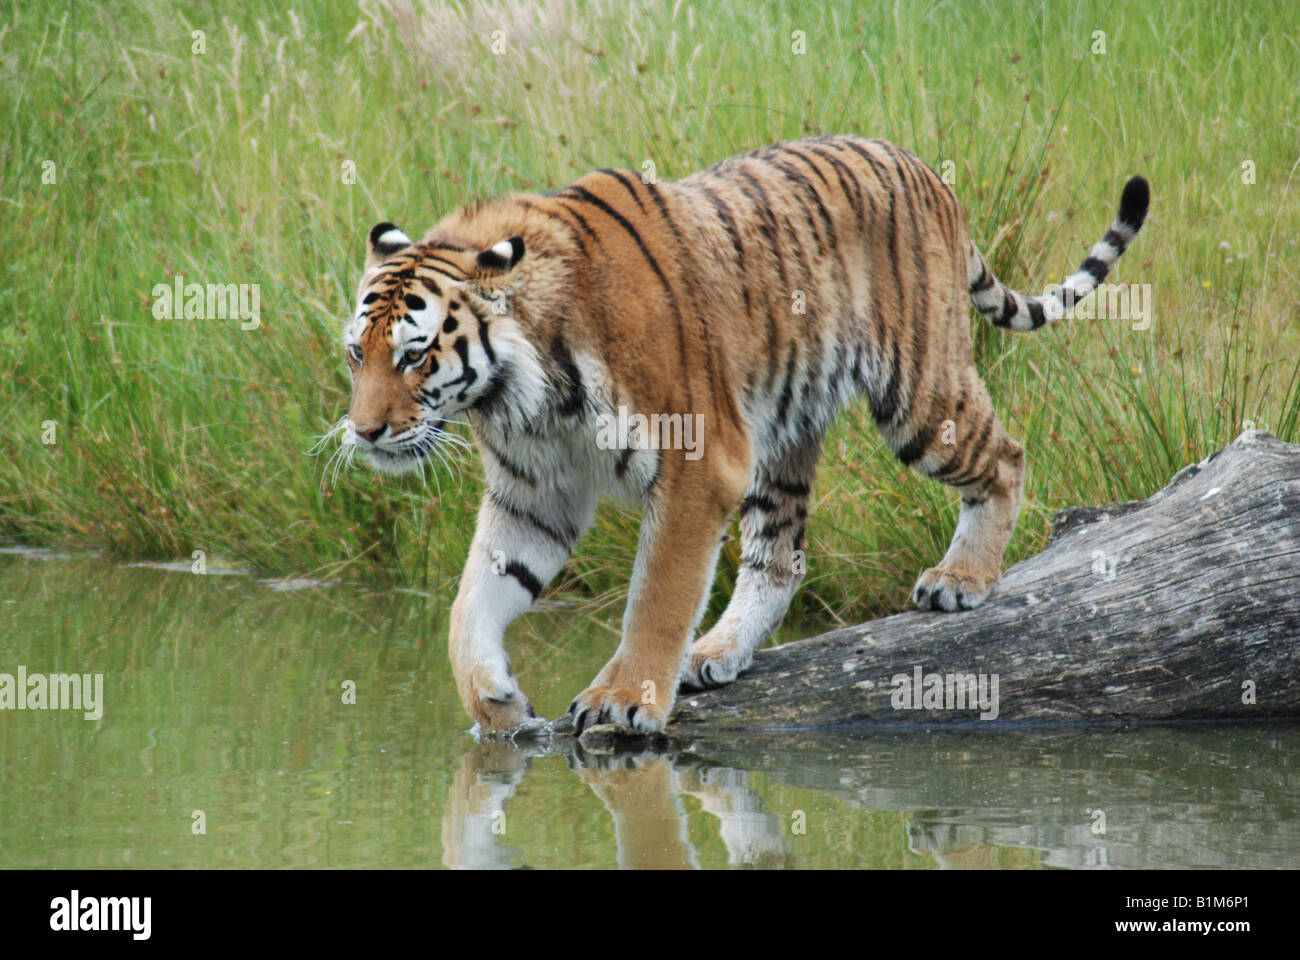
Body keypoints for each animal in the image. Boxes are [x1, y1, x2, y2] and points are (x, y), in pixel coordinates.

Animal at [338, 134, 1149, 736]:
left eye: (414, 356)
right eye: (357, 354)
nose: (365, 431)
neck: (525, 394)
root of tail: (924, 169)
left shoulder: (699, 463)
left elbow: (658, 595)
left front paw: (624, 698)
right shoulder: (534, 495)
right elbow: (471, 604)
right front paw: (495, 702)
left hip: (918, 396)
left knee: (1005, 457)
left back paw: (961, 579)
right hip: (784, 430)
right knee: (780, 557)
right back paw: (718, 651)